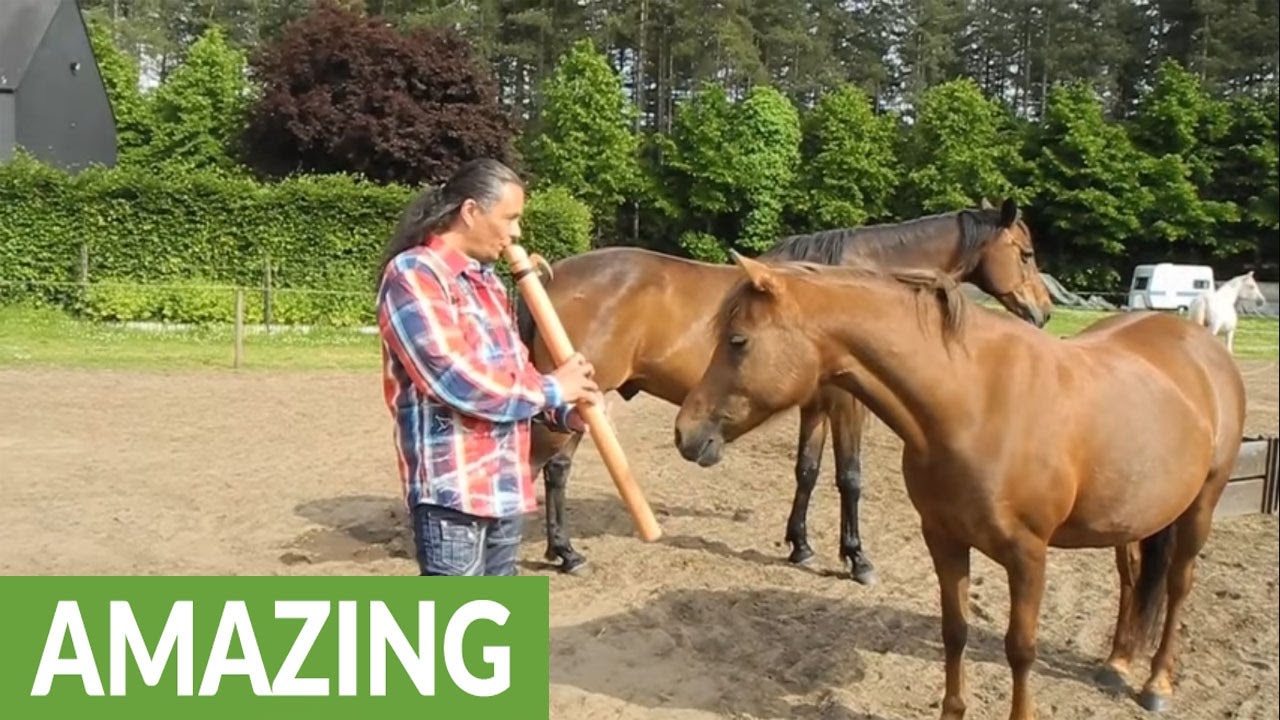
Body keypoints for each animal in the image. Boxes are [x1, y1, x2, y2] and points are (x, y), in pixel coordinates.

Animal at [518, 198, 1054, 581]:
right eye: (1026, 254)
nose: (1043, 312)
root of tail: (550, 278)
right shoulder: (848, 405)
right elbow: (850, 477)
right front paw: (857, 558)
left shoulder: (815, 405)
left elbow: (807, 472)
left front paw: (801, 545)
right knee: (549, 467)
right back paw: (563, 553)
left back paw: (562, 551)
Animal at [672, 252, 1246, 719]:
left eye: (738, 341)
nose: (685, 433)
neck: (973, 402)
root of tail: (1200, 344)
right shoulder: (944, 539)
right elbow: (955, 632)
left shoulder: (1028, 555)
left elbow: (1020, 648)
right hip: (1133, 515)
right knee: (1132, 582)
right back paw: (1118, 662)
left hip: (1200, 507)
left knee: (1178, 587)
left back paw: (1156, 684)